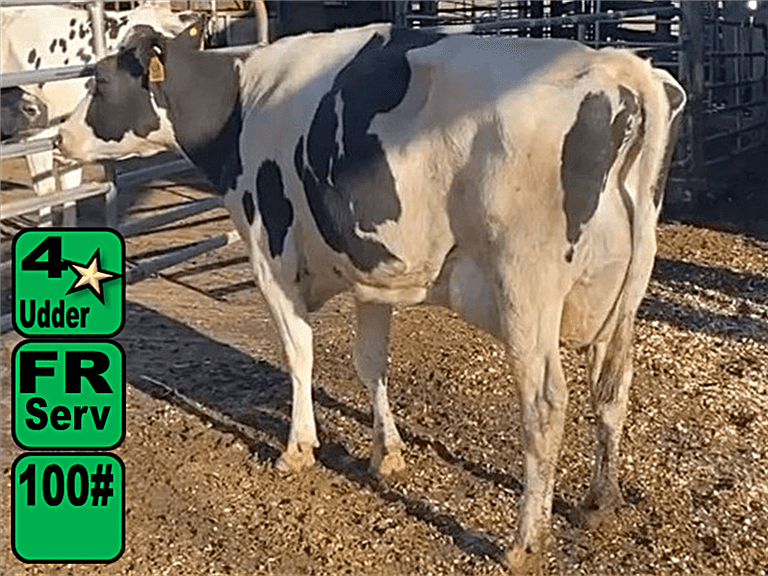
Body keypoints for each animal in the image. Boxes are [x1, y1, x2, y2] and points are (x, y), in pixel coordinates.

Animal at [58, 22, 686, 571]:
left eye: (102, 82)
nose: (61, 136)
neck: (243, 103)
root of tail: (624, 69)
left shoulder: (271, 255)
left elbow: (300, 355)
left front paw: (298, 448)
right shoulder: (372, 268)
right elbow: (369, 363)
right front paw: (387, 453)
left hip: (525, 290)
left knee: (546, 406)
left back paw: (523, 542)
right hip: (623, 296)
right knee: (613, 389)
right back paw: (599, 501)